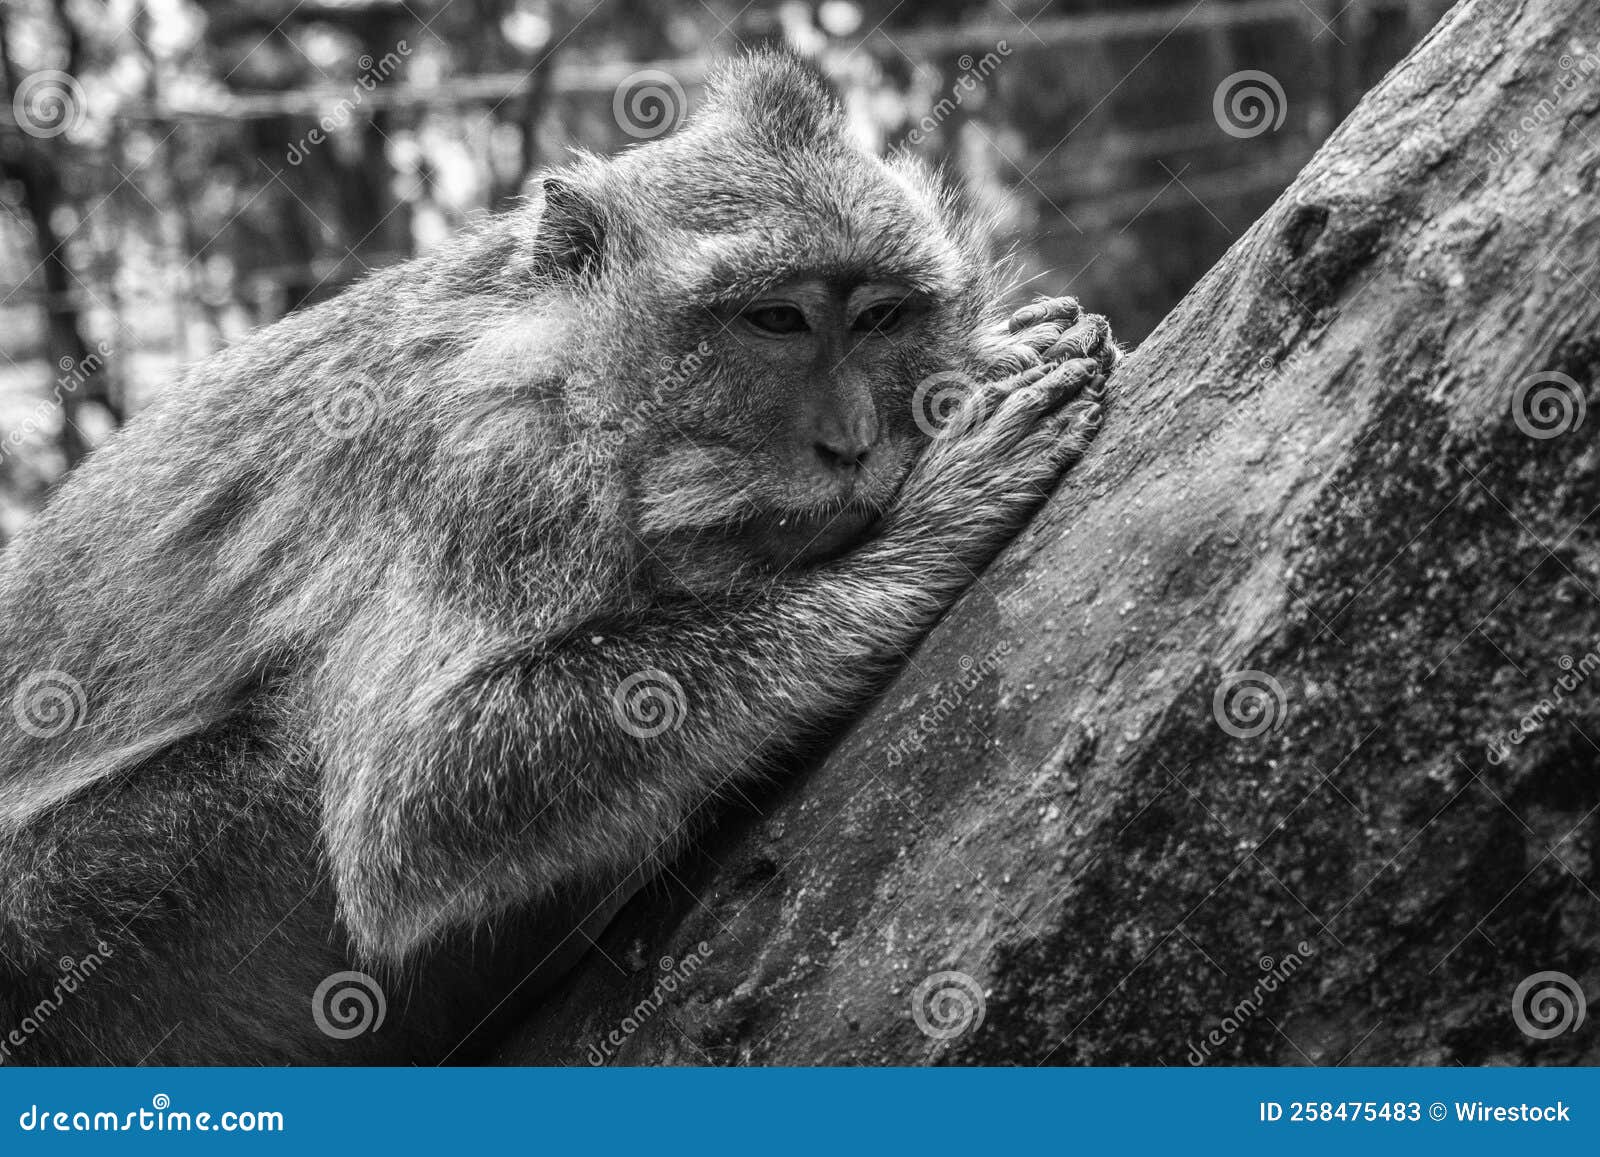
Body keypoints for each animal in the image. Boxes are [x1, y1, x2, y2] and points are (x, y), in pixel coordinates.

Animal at [0, 49, 1119, 1064]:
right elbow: (409, 807)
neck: (573, 363)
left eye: (882, 318)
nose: (849, 441)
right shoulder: (501, 470)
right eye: (777, 320)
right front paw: (924, 530)